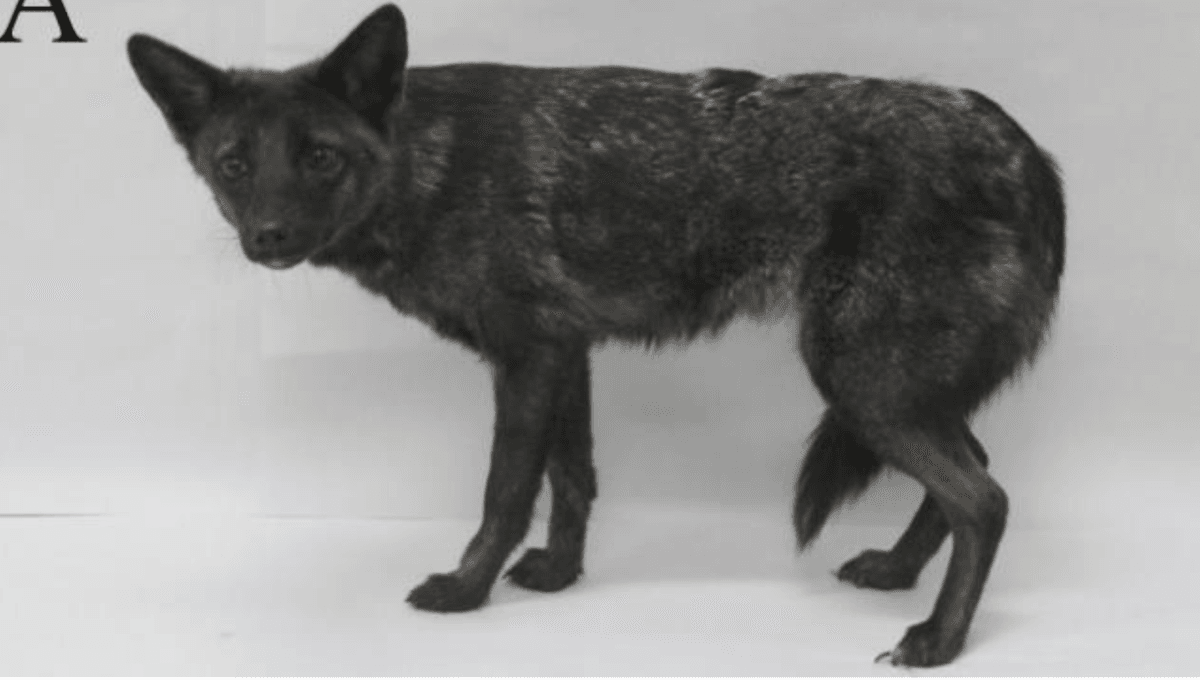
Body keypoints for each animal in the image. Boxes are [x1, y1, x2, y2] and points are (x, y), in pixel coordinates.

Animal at [127, 3, 1064, 667]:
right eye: (233, 165)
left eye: (321, 157)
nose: (269, 237)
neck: (433, 163)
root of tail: (1022, 145)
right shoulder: (563, 353)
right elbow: (572, 478)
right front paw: (557, 576)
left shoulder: (526, 357)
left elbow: (505, 491)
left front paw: (465, 590)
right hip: (892, 388)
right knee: (974, 473)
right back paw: (899, 576)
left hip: (862, 382)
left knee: (984, 498)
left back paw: (938, 640)